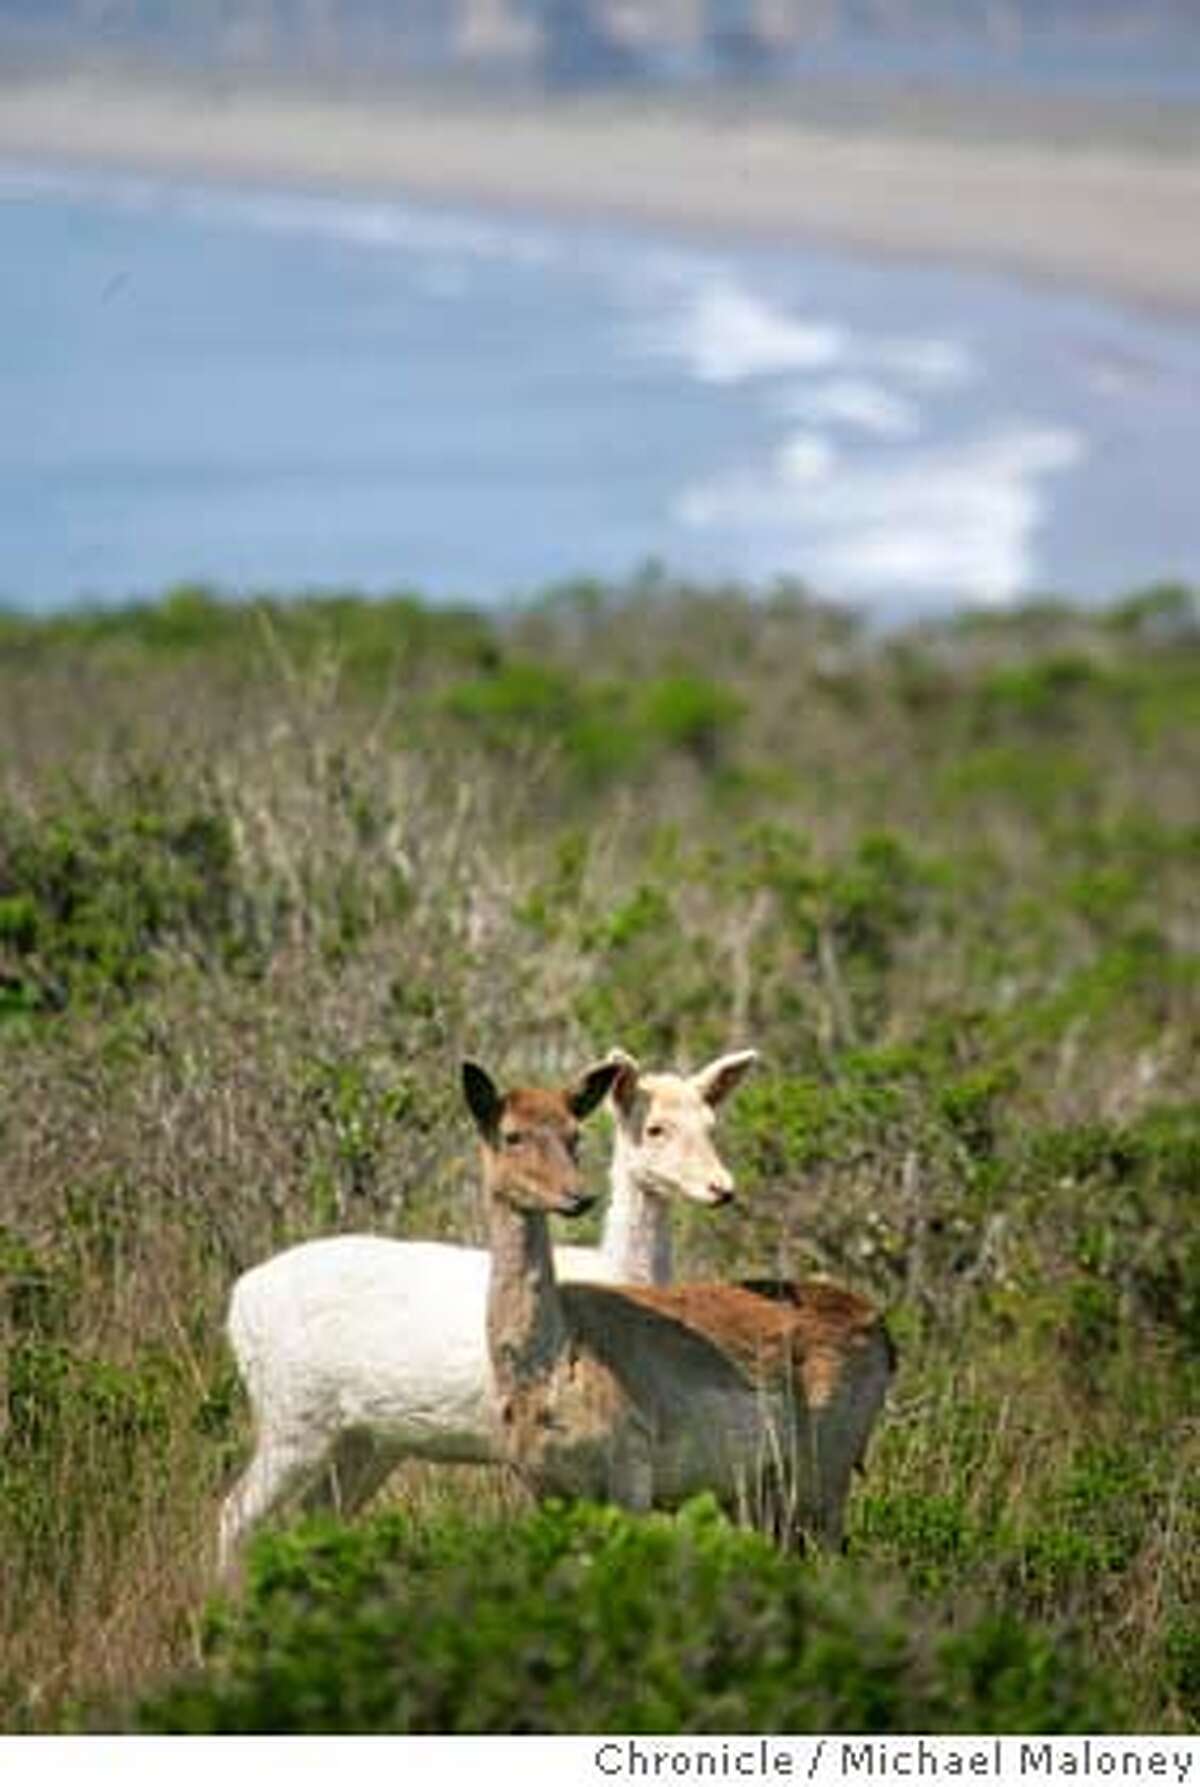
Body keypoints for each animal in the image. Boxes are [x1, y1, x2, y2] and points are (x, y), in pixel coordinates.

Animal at [217, 1046, 759, 1571]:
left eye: (711, 1123)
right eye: (654, 1128)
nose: (721, 1187)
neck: (617, 1274)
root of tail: (237, 1300)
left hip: (364, 1437)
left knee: (316, 1515)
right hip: (292, 1410)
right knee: (235, 1514)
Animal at [472, 1058, 895, 1549]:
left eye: (575, 1134)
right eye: (511, 1135)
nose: (578, 1195)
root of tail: (885, 1333)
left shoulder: (631, 1466)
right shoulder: (540, 1484)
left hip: (830, 1464)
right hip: (769, 1493)